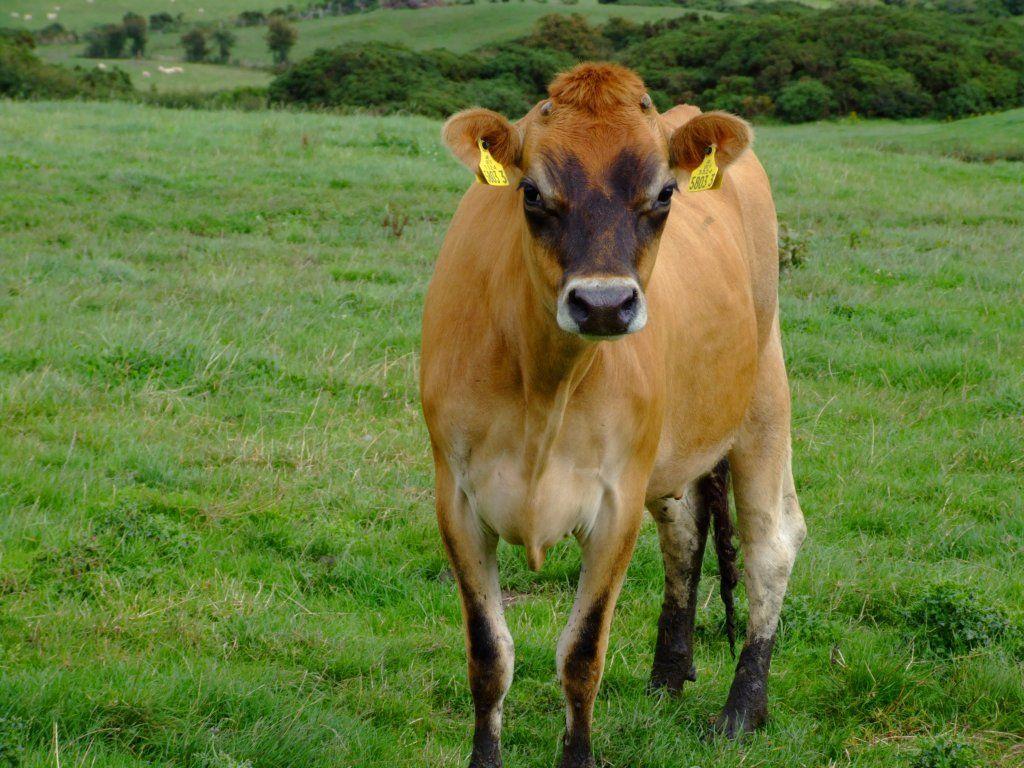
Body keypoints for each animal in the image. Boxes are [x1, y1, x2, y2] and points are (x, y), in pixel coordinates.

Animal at [420, 62, 806, 768]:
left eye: (664, 195)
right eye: (532, 192)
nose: (603, 304)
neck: (544, 387)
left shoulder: (614, 503)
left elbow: (581, 655)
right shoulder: (455, 497)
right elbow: (488, 656)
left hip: (764, 397)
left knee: (771, 544)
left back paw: (742, 709)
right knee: (685, 531)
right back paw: (668, 675)